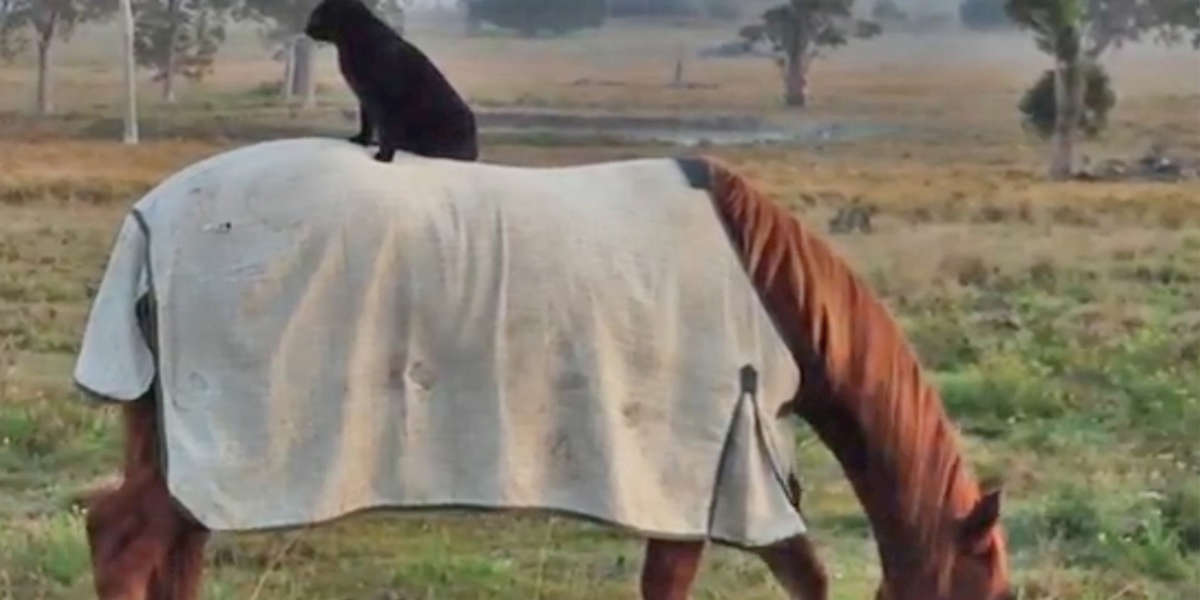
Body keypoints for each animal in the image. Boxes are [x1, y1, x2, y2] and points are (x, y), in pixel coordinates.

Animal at [75, 138, 1011, 600]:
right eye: (987, 591)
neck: (770, 292)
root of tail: (150, 217)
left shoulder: (726, 466)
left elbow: (803, 573)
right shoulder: (695, 467)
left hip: (189, 449)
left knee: (167, 547)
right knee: (124, 541)